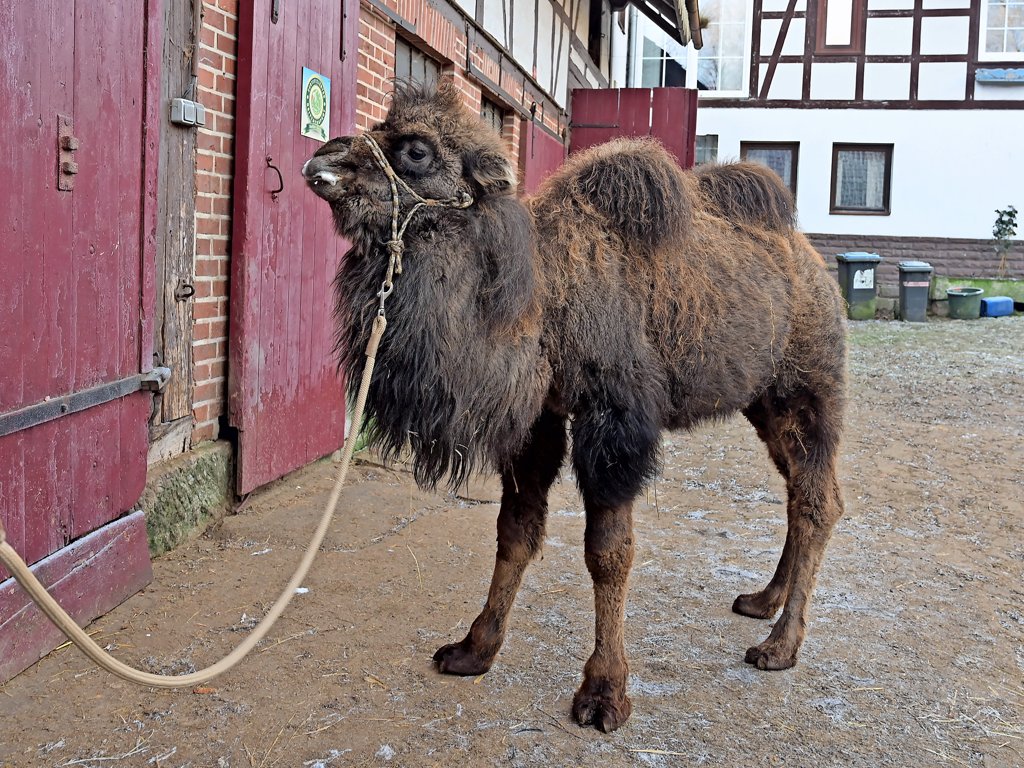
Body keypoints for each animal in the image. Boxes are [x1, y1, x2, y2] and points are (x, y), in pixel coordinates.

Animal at [302, 82, 847, 732]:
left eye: (416, 149)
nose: (321, 162)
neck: (540, 299)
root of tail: (815, 266)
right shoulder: (540, 418)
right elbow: (514, 531)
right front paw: (472, 649)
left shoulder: (614, 417)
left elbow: (608, 552)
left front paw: (604, 691)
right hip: (762, 400)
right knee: (798, 490)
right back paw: (762, 601)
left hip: (809, 384)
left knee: (817, 501)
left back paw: (780, 645)